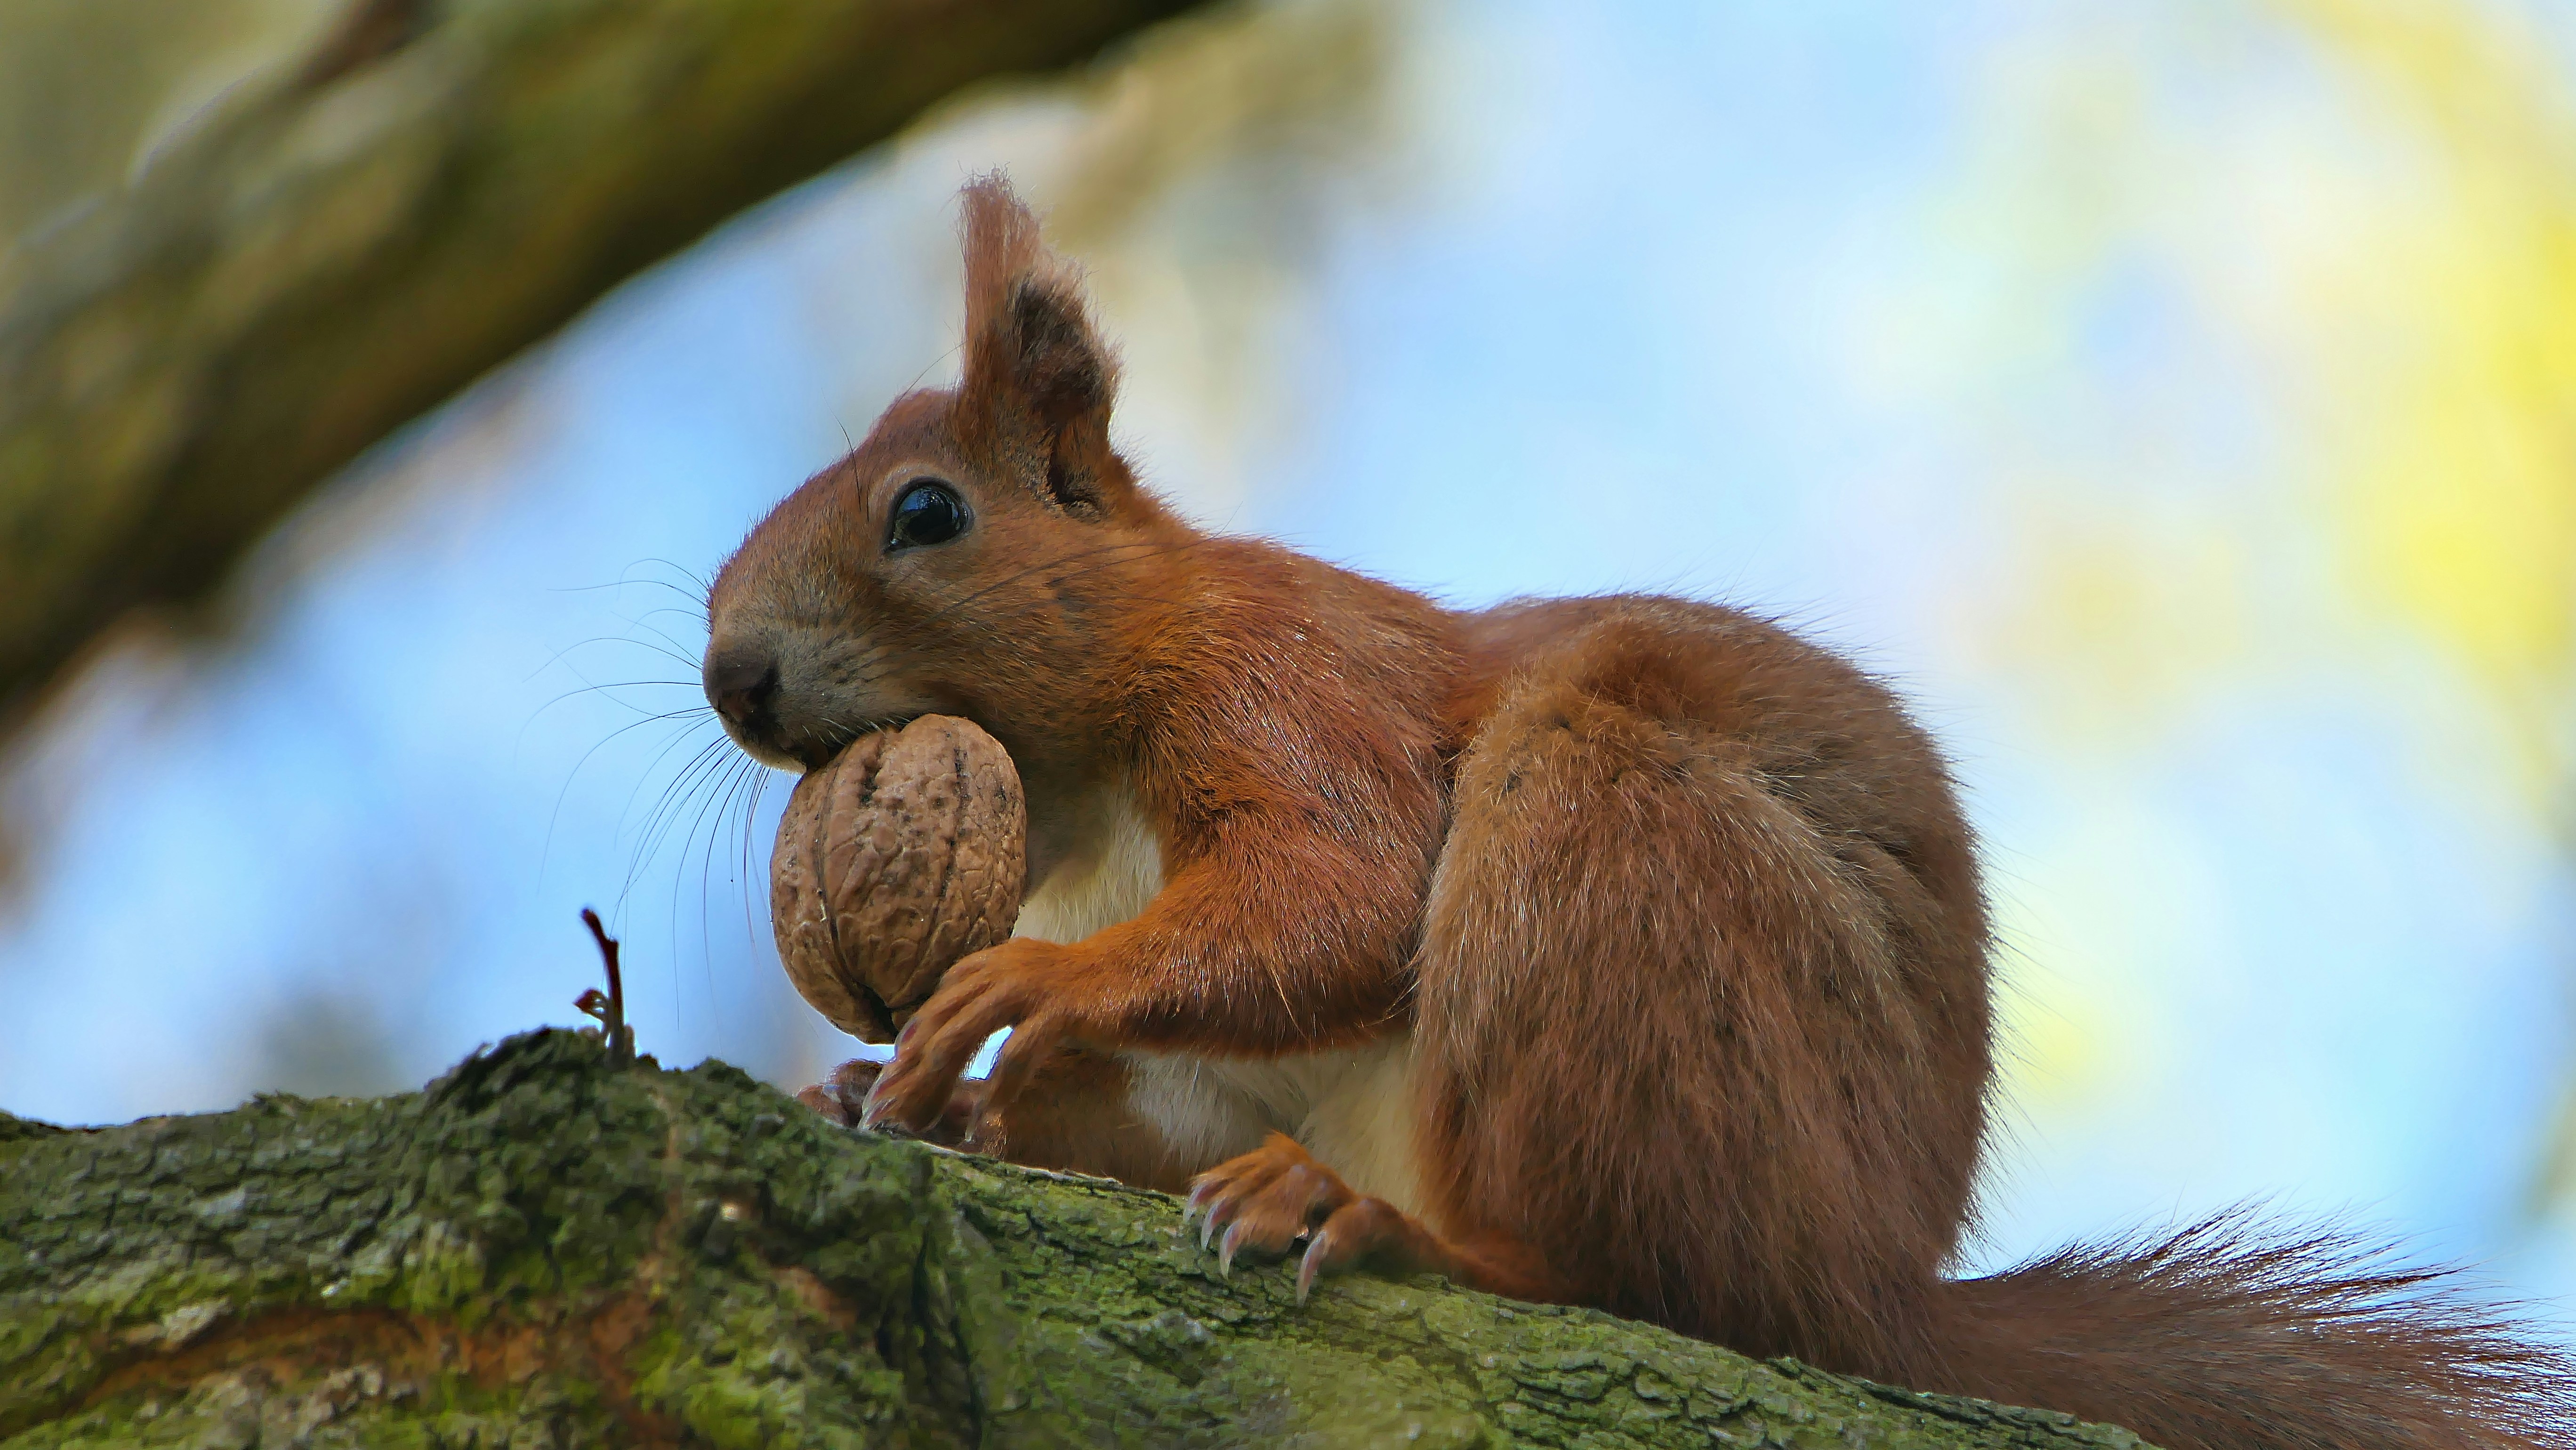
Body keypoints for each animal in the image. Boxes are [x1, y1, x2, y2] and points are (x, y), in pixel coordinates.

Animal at [701, 175, 2573, 1450]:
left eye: (926, 514)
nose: (730, 676)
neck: (1082, 807)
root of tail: (1873, 1285)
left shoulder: (1298, 690)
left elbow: (1339, 894)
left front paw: (1019, 999)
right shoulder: (1183, 1052)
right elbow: (1155, 1095)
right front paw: (926, 1099)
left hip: (1607, 857)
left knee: (1640, 1277)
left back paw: (1396, 1235)